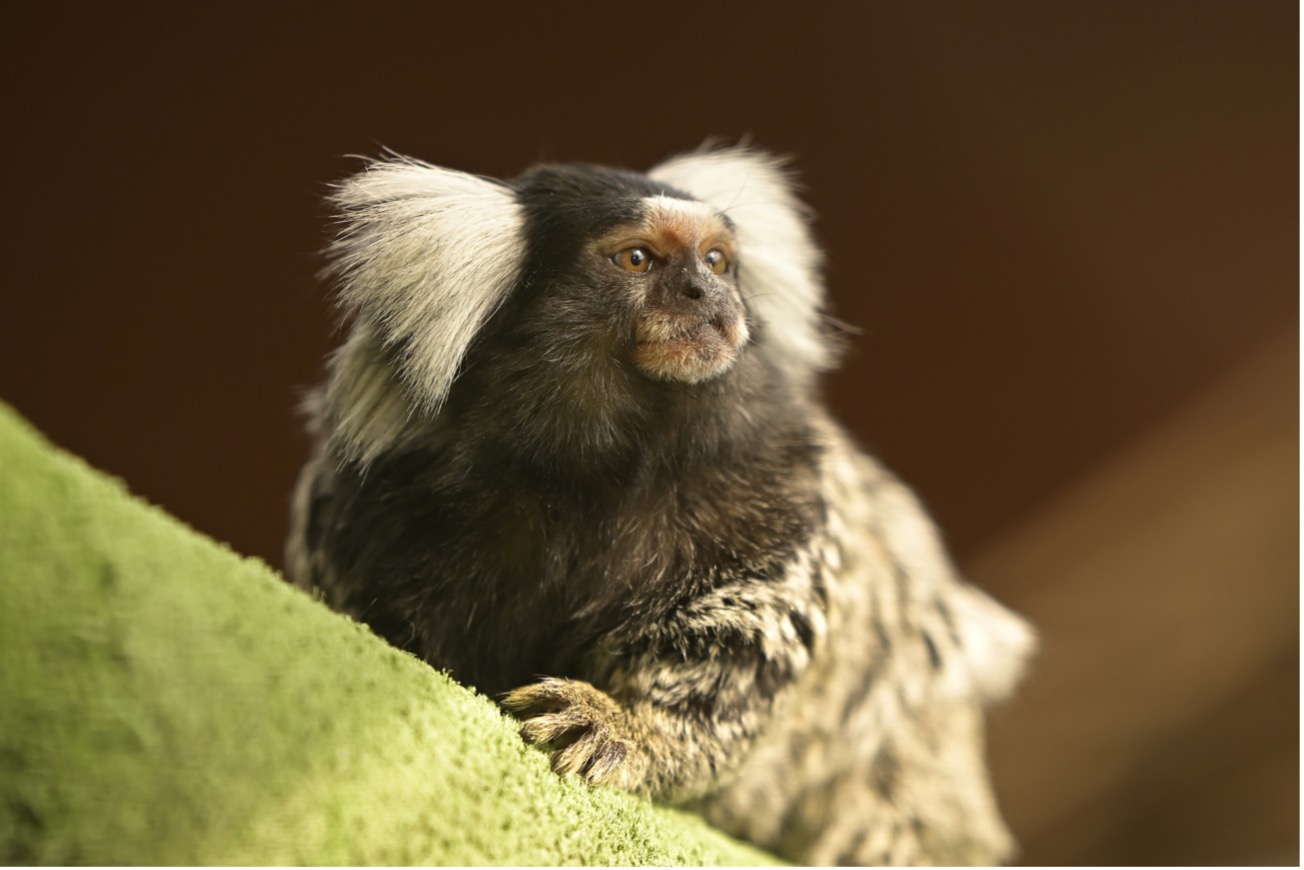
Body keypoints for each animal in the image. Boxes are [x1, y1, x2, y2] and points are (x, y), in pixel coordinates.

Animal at [285, 145, 1035, 865]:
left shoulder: (780, 486)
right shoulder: (375, 487)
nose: (706, 293)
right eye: (638, 259)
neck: (594, 468)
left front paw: (627, 727)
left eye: (716, 259)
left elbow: (737, 652)